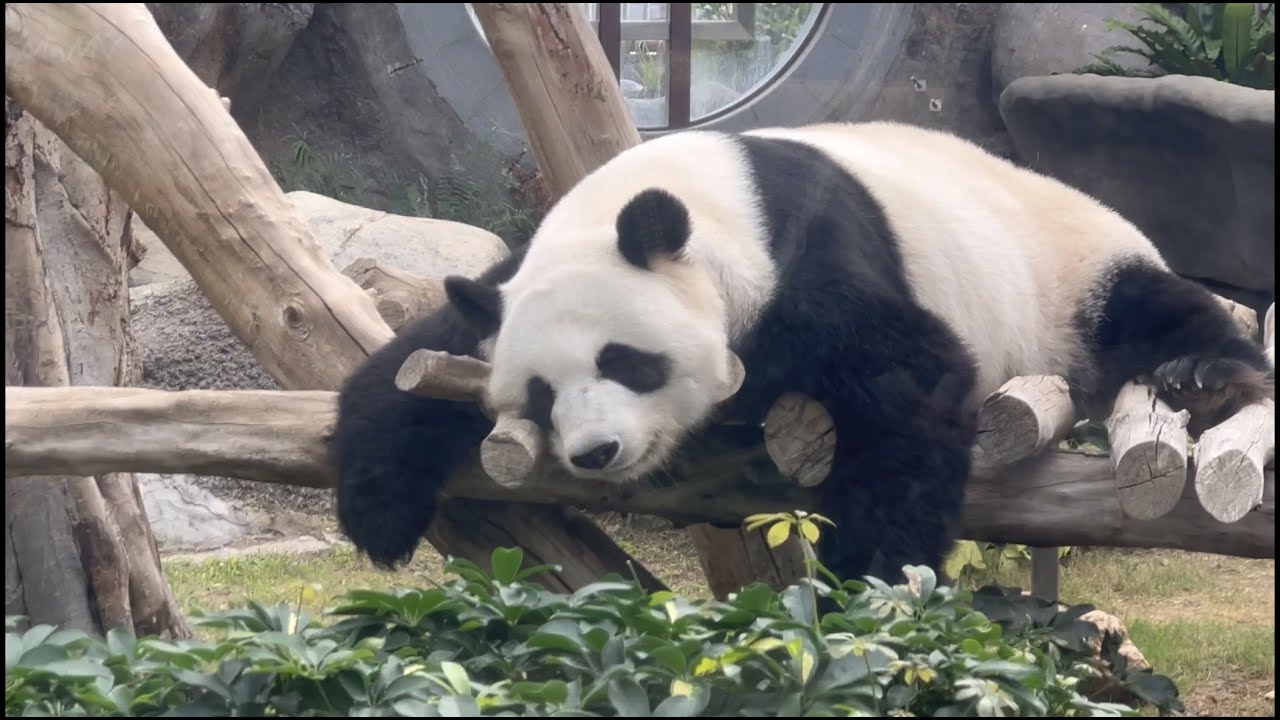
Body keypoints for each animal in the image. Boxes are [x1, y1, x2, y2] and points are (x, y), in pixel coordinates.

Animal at [329, 120, 1274, 586]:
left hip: (1068, 276)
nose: (598, 452)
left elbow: (908, 381)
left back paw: (1205, 376)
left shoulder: (803, 252)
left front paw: (872, 570)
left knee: (1150, 310)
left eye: (626, 362)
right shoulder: (520, 276)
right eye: (538, 394)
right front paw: (376, 509)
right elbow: (425, 351)